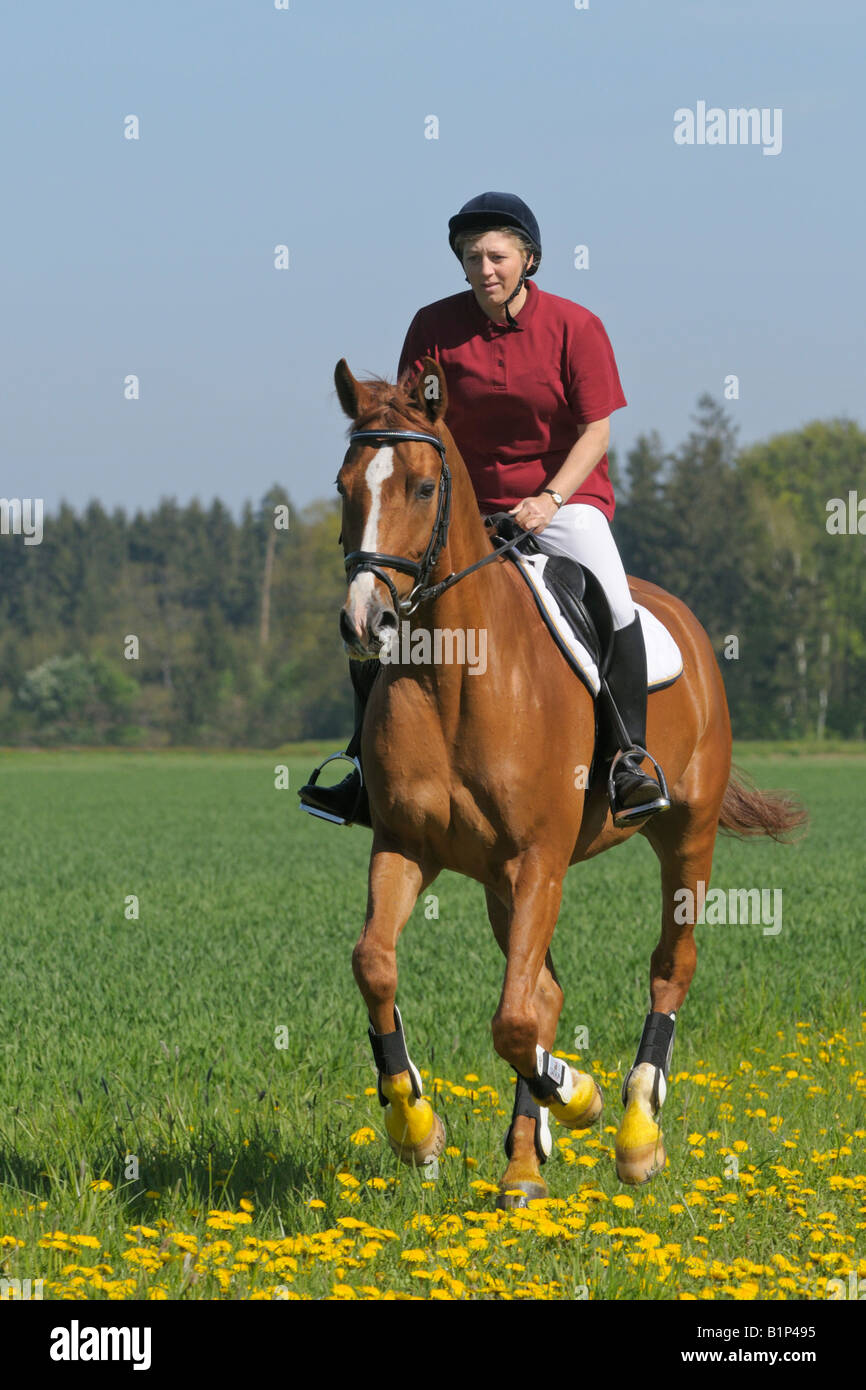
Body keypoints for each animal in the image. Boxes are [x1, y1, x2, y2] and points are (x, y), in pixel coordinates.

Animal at [329, 354, 806, 1205]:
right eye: (343, 485)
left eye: (422, 486)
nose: (364, 622)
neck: (455, 678)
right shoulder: (407, 847)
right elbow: (377, 966)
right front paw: (416, 1128)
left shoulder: (539, 862)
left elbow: (516, 1020)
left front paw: (578, 1096)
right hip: (497, 880)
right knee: (541, 993)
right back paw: (524, 1160)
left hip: (686, 837)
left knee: (668, 968)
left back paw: (636, 1134)